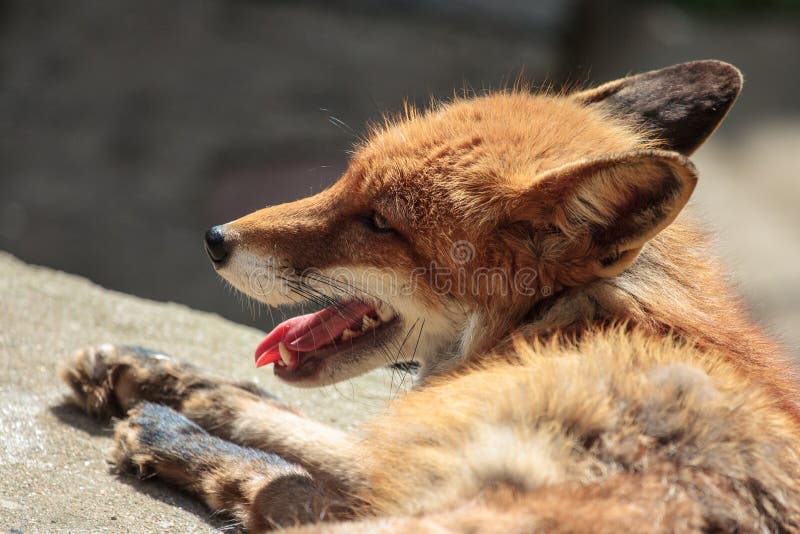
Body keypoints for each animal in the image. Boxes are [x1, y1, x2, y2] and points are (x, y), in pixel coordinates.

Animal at [60, 60, 800, 532]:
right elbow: (268, 414)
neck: (569, 323)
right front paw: (154, 373)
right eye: (346, 180)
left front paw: (176, 425)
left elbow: (277, 440)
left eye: (380, 224)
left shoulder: (409, 452)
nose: (215, 239)